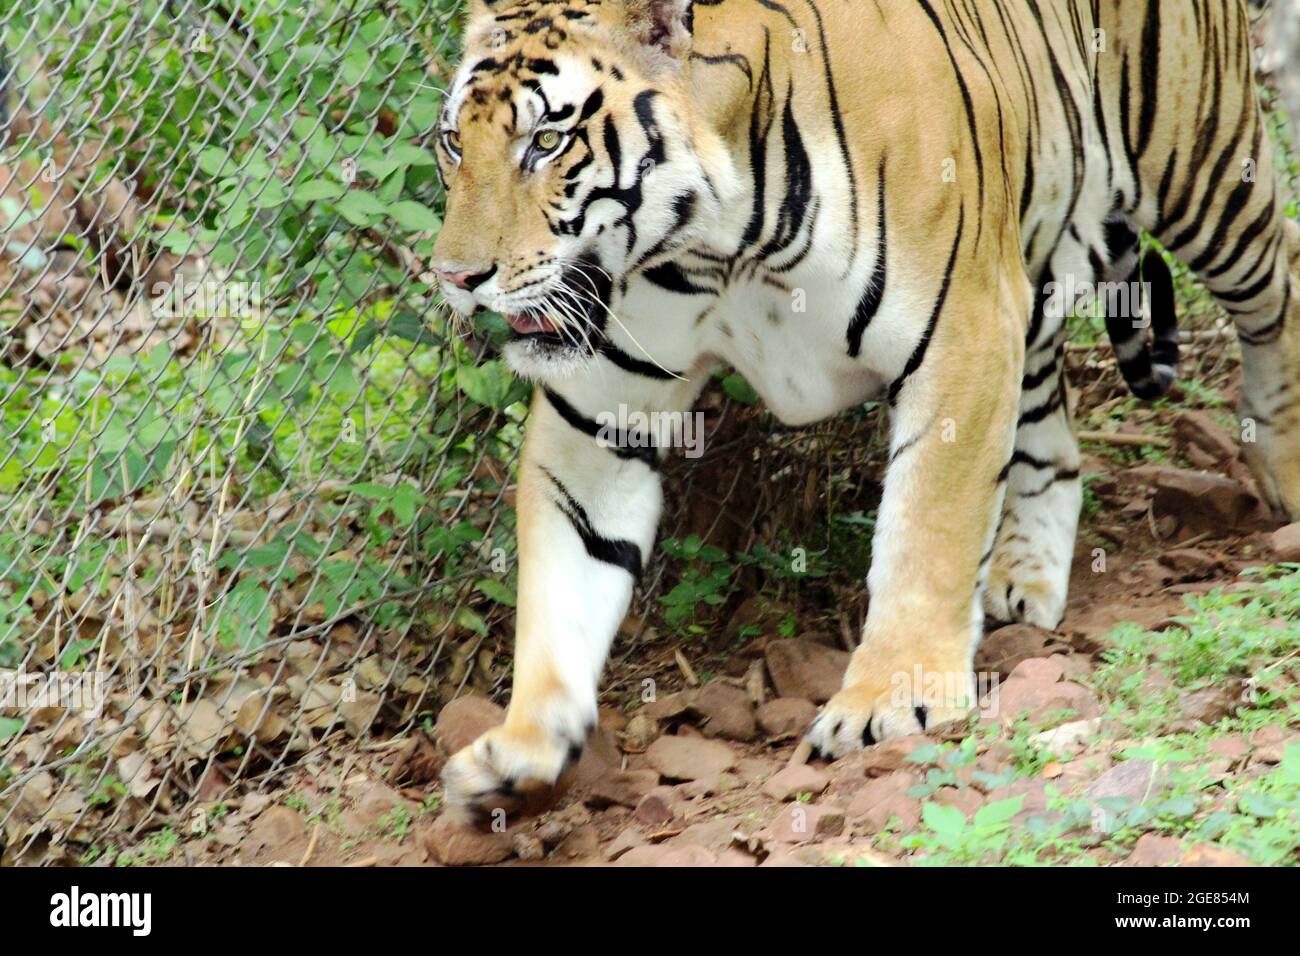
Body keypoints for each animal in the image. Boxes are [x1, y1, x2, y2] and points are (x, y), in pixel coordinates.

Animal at [429, 0, 1300, 820]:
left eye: (547, 143)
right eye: (452, 144)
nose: (456, 277)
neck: (711, 243)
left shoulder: (961, 335)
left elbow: (927, 536)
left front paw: (891, 701)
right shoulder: (599, 416)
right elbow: (564, 581)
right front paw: (522, 747)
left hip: (1201, 166)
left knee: (1276, 280)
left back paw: (1284, 475)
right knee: (1049, 428)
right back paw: (1025, 573)